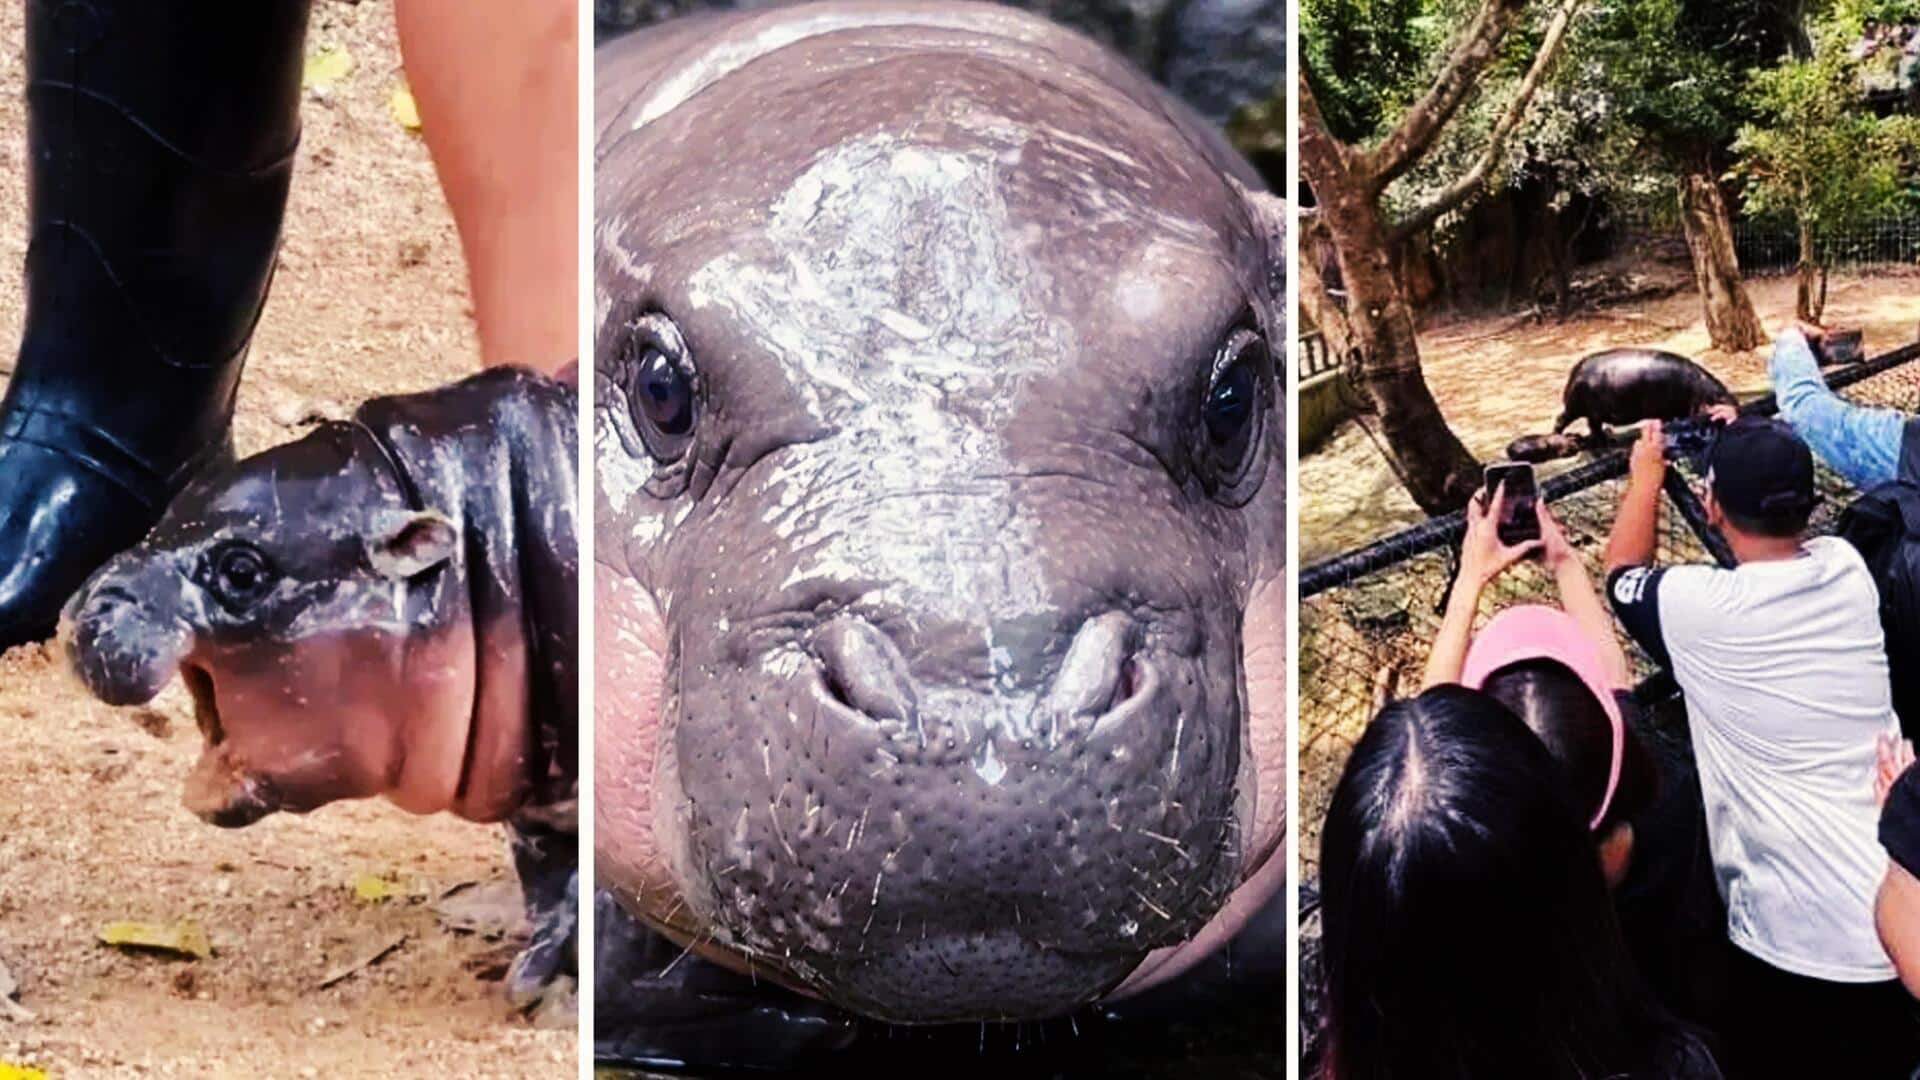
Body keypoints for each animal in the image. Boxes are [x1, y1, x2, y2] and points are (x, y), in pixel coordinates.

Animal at [60, 366, 580, 1010]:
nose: (83, 609)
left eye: (241, 571)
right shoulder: (533, 794)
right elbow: (547, 880)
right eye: (176, 503)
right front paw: (529, 977)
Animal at [1553, 348, 1735, 440]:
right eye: (1720, 399)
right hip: (1578, 408)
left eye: (1730, 395)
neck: (1701, 389)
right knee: (1563, 420)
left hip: (1591, 412)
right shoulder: (1667, 410)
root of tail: (1576, 370)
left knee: (1592, 426)